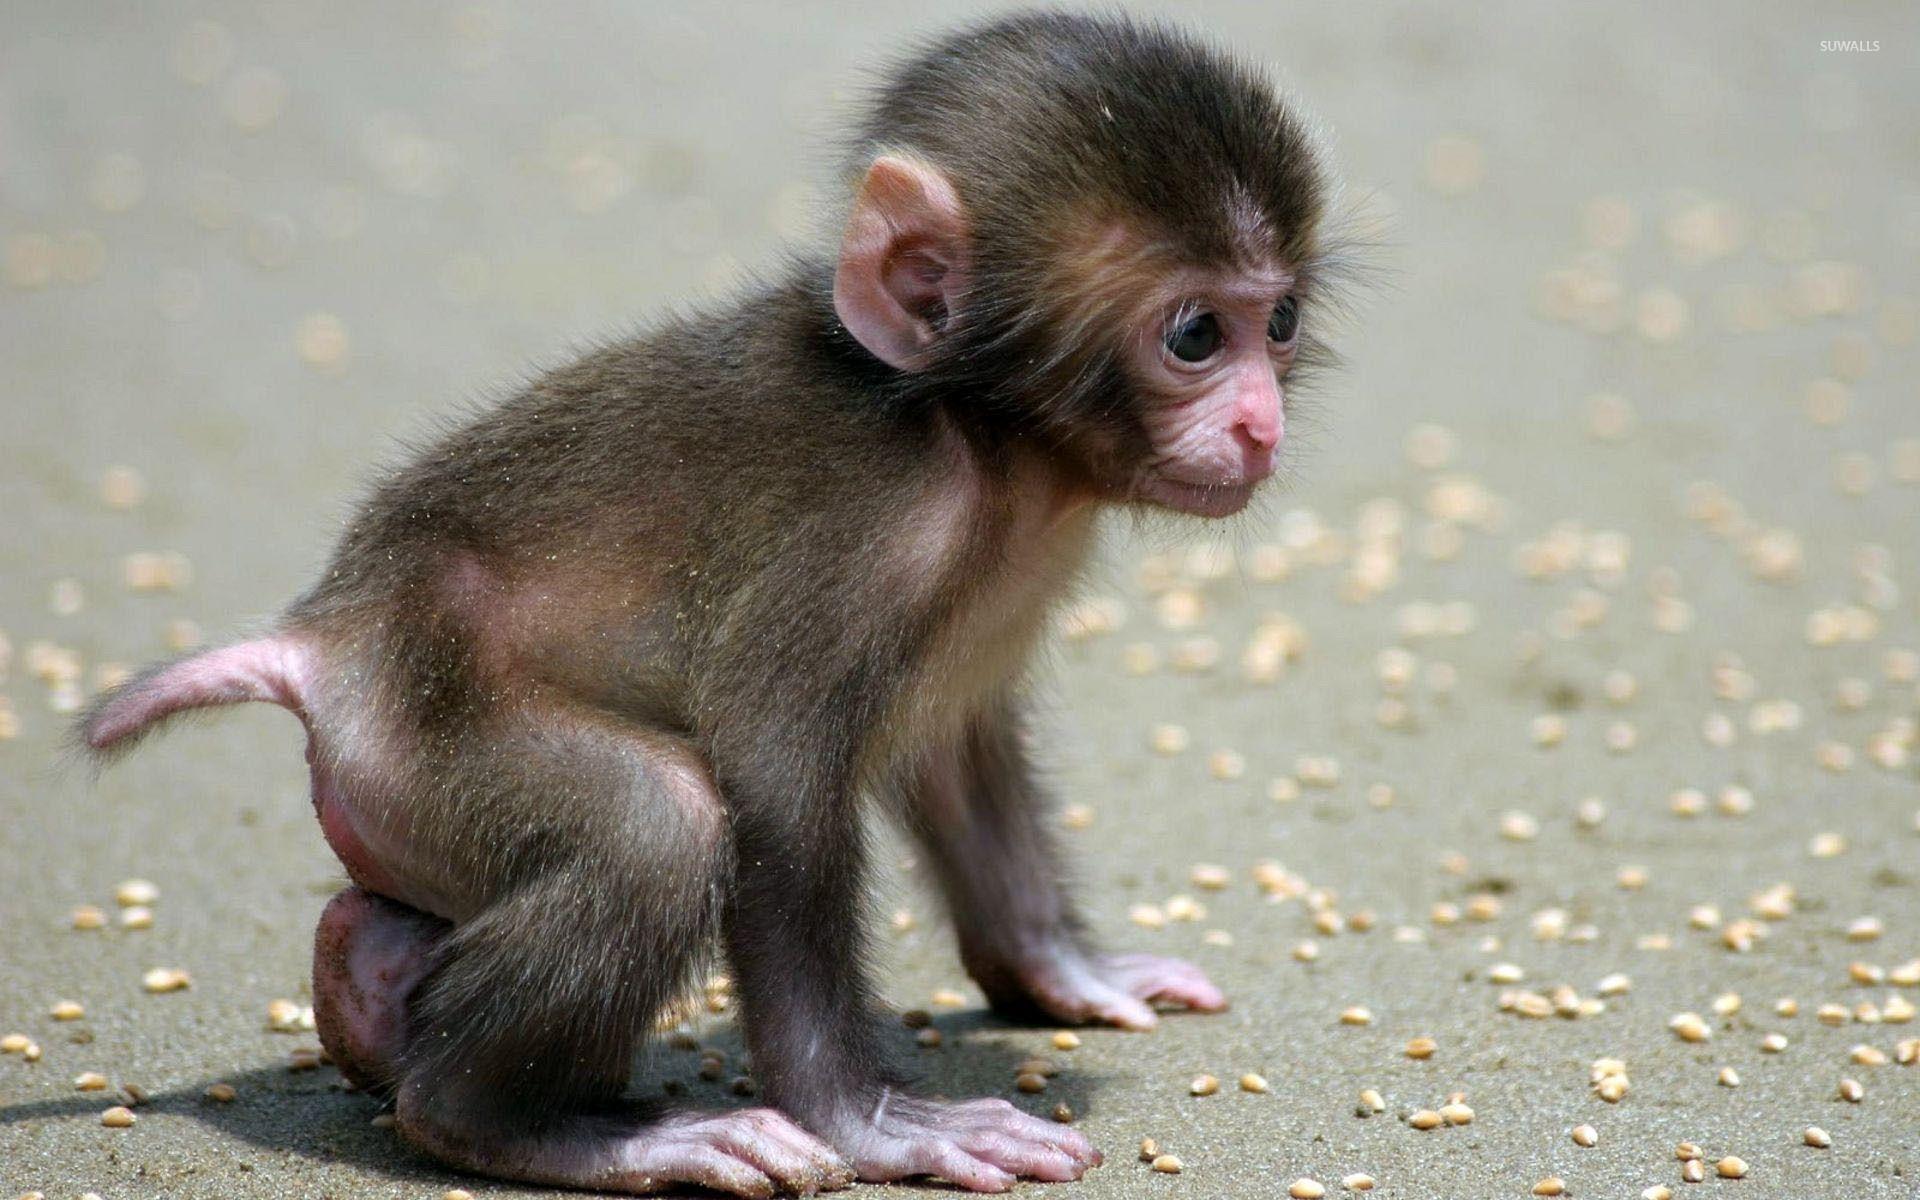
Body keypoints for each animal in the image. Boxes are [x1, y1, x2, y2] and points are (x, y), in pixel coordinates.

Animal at [78, 11, 1340, 1196]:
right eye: (1195, 335)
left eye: (1277, 323)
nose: (1260, 425)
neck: (981, 435)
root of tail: (325, 640)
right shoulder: (873, 538)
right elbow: (773, 776)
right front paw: (869, 1123)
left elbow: (951, 750)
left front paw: (1061, 971)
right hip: (420, 738)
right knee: (659, 824)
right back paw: (520, 1126)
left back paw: (370, 991)